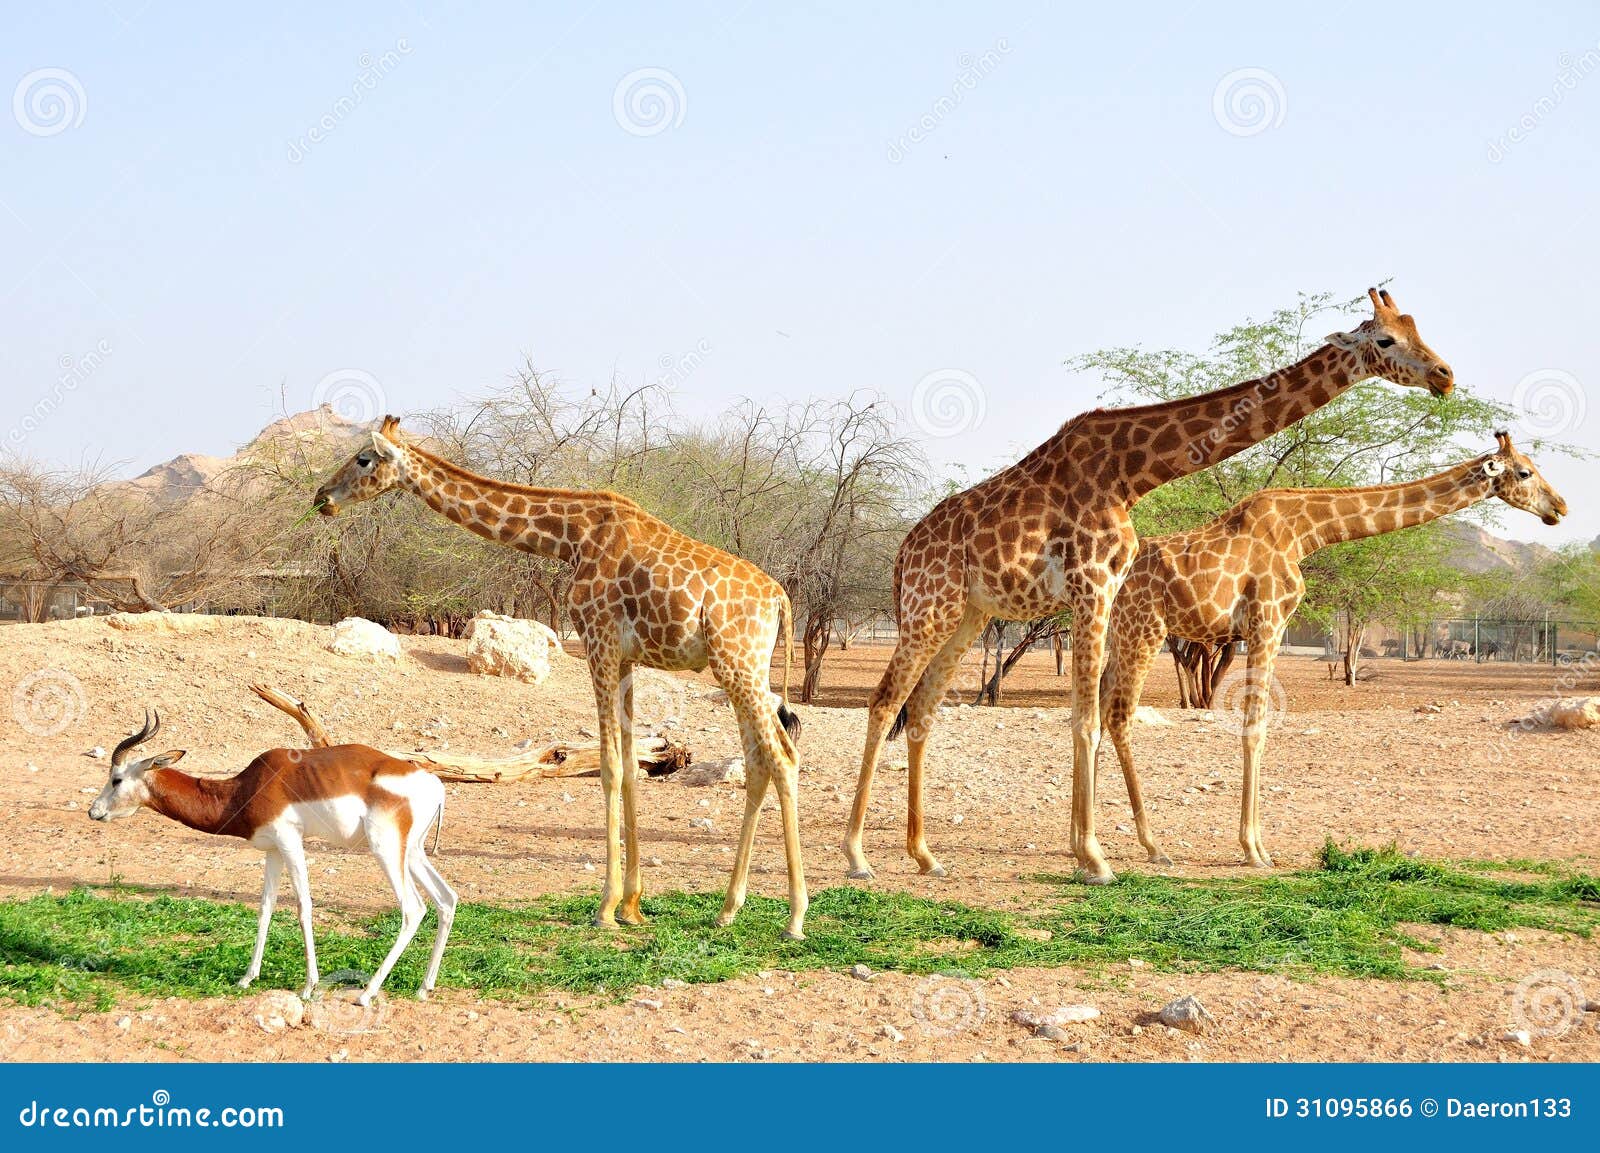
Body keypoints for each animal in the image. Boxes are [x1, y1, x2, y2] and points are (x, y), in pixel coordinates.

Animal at [313, 418, 809, 939]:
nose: (322, 496)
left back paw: (795, 917)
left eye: (363, 459)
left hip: (738, 664)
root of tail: (780, 600)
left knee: (783, 757)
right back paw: (729, 908)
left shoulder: (598, 641)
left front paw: (606, 907)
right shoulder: (625, 656)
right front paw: (633, 905)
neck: (569, 537)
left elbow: (609, 767)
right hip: (741, 670)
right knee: (759, 762)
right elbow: (630, 766)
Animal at [845, 288, 1456, 883]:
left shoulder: (1104, 592)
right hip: (928, 606)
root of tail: (902, 554)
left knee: (922, 709)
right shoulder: (1091, 585)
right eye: (1385, 339)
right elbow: (1089, 720)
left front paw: (1088, 850)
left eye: (1417, 327)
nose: (1445, 375)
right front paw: (1096, 860)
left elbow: (1085, 715)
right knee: (884, 701)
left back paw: (925, 854)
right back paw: (857, 855)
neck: (1130, 475)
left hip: (967, 615)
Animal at [1100, 432, 1566, 868]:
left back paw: (1089, 845)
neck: (1304, 533)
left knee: (1098, 707)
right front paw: (1254, 850)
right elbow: (1256, 727)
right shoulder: (1267, 621)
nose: (1560, 508)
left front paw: (1257, 845)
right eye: (1525, 472)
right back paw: (1153, 846)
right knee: (1119, 714)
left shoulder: (1268, 626)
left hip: (1117, 632)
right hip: (1144, 627)